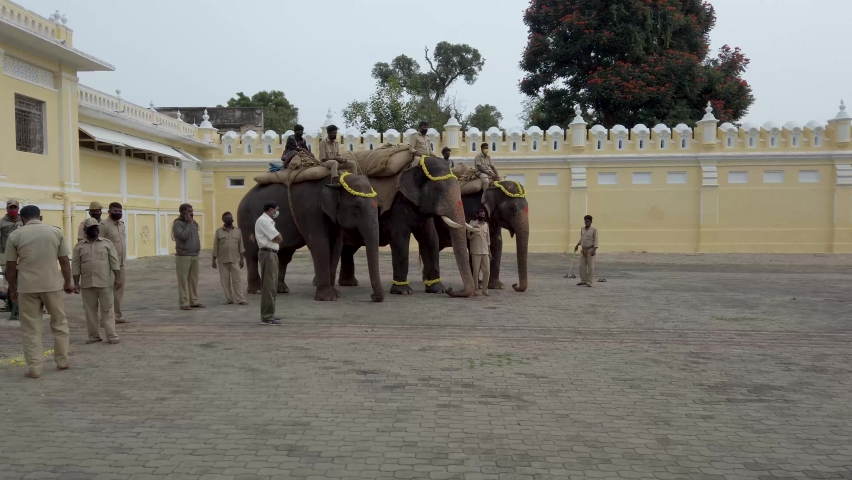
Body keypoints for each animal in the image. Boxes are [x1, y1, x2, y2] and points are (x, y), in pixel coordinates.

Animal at [236, 174, 384, 302]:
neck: (335, 178)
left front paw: (336, 295)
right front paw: (327, 298)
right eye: (357, 206)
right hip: (246, 221)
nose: (373, 297)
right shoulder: (311, 211)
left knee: (284, 255)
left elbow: (336, 246)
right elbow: (319, 244)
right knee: (252, 253)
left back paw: (281, 290)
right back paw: (257, 290)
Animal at [337, 155, 476, 298]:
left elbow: (431, 239)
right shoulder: (397, 205)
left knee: (349, 247)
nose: (450, 289)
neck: (415, 165)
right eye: (439, 190)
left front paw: (437, 289)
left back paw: (349, 283)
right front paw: (403, 291)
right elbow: (400, 240)